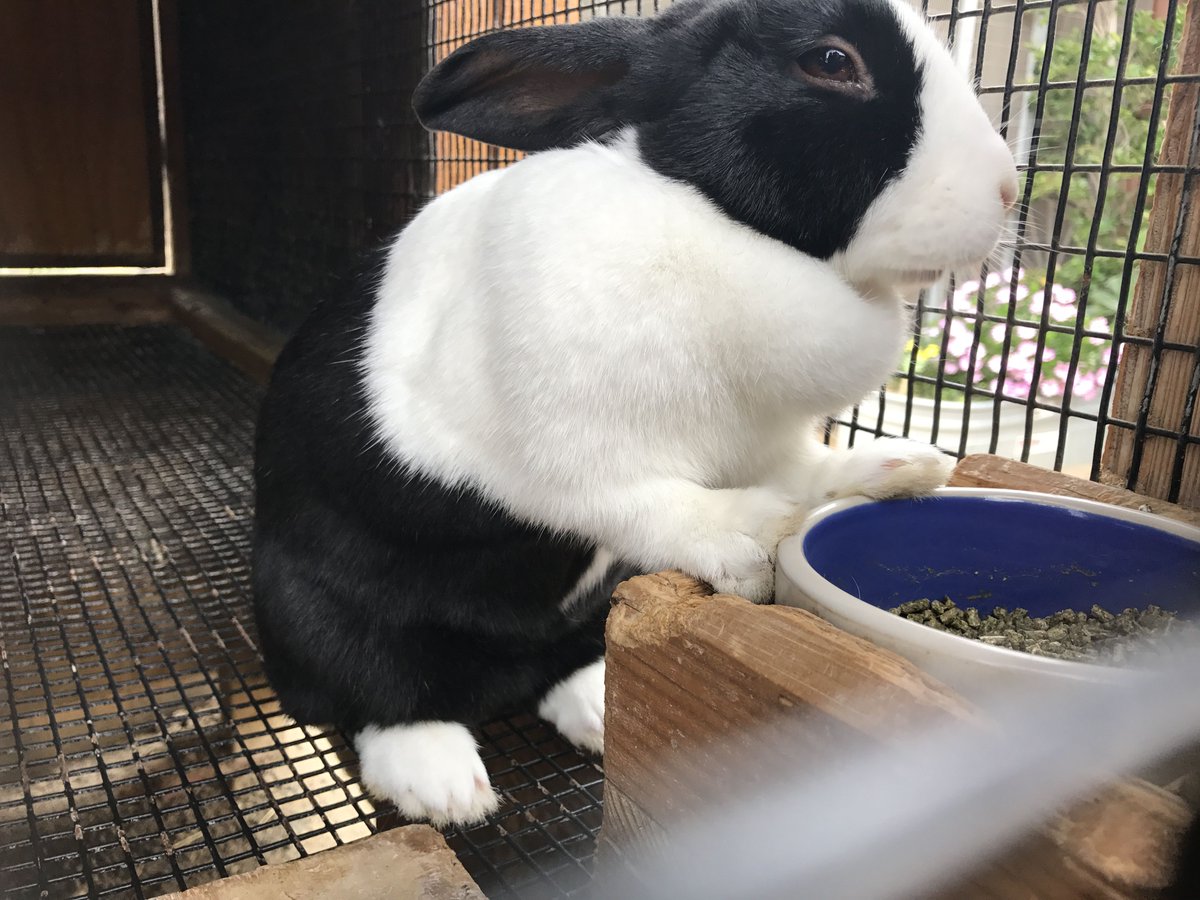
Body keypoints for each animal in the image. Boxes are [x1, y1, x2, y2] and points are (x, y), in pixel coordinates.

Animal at [252, 0, 1018, 827]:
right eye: (831, 60)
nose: (1009, 187)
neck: (713, 225)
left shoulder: (770, 443)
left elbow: (810, 472)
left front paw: (901, 467)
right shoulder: (557, 463)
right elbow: (650, 505)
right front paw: (753, 535)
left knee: (556, 667)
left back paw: (595, 709)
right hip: (314, 618)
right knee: (377, 692)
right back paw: (447, 786)